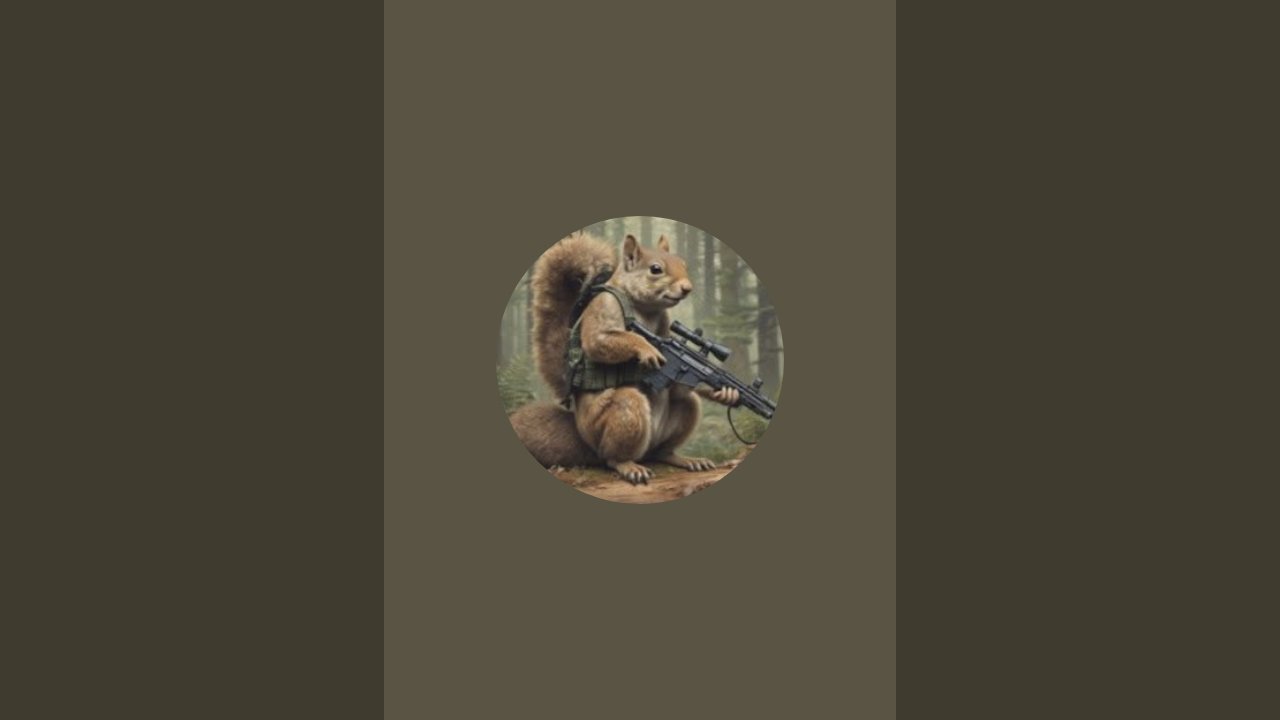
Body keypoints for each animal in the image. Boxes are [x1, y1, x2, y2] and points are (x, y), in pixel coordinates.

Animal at [507, 231, 740, 485]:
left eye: (683, 264)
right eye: (655, 269)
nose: (687, 288)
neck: (644, 307)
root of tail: (582, 436)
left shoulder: (667, 328)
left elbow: (680, 386)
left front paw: (728, 394)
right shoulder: (605, 306)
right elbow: (599, 341)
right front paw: (648, 350)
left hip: (674, 423)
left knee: (671, 430)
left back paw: (684, 459)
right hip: (614, 421)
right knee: (611, 455)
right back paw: (629, 466)